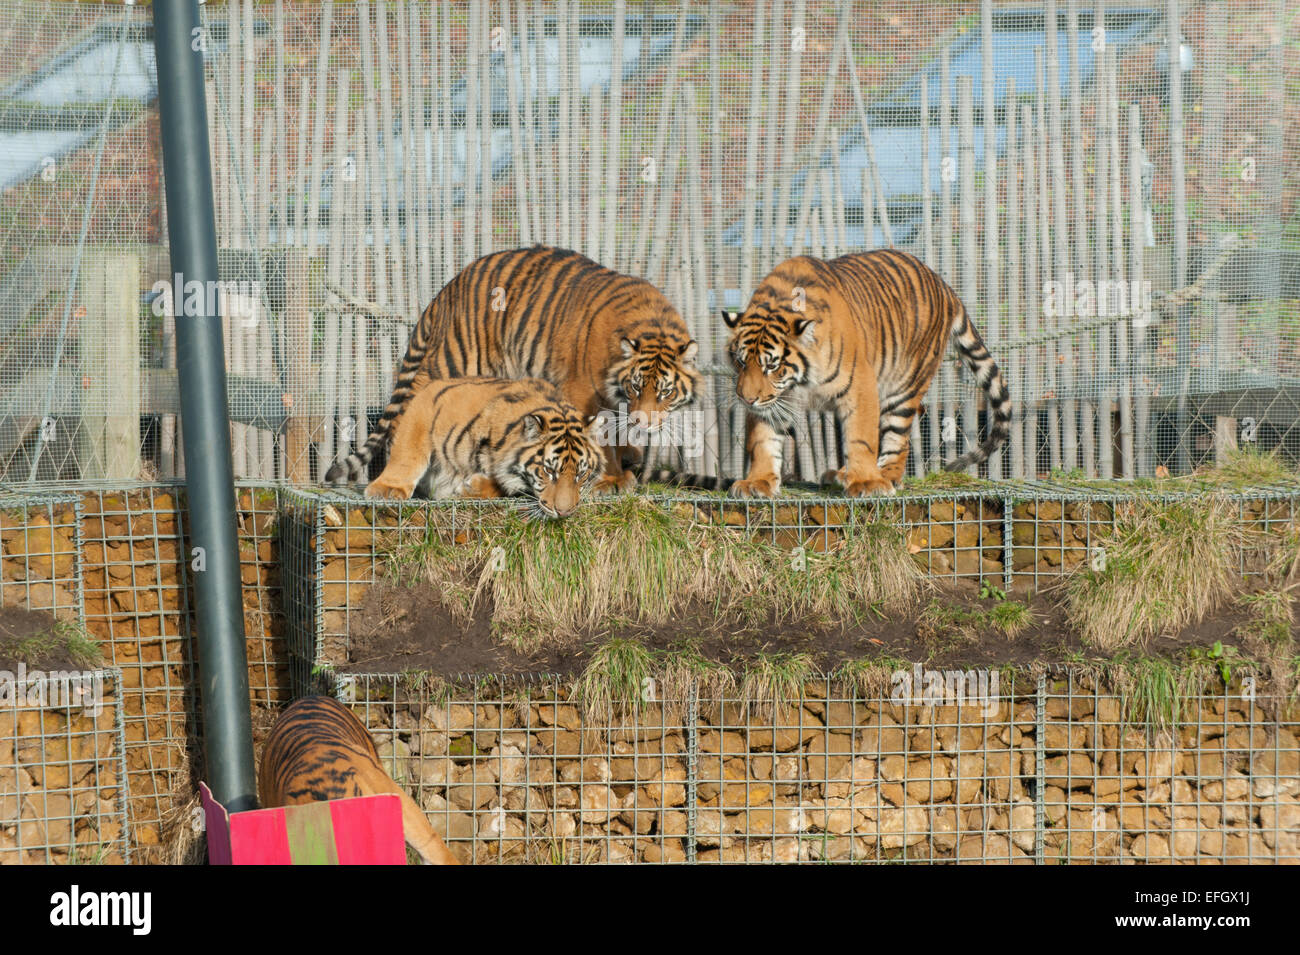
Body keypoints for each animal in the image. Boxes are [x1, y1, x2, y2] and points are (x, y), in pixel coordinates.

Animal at [324, 245, 701, 495]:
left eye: (665, 391)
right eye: (637, 386)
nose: (645, 423)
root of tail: (448, 287)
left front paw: (624, 465)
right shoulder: (584, 391)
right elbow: (599, 436)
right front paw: (611, 478)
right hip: (456, 358)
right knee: (415, 401)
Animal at [364, 376, 604, 518]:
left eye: (581, 474)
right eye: (548, 471)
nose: (564, 513)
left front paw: (471, 489)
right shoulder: (429, 399)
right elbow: (408, 451)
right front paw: (387, 489)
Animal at [721, 248, 1011, 497]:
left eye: (772, 366)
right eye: (741, 362)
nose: (746, 399)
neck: (800, 382)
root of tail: (944, 285)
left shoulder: (859, 387)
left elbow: (861, 438)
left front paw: (866, 482)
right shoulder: (773, 400)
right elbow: (763, 441)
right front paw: (756, 482)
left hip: (905, 386)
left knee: (898, 437)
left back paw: (885, 476)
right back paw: (841, 474)